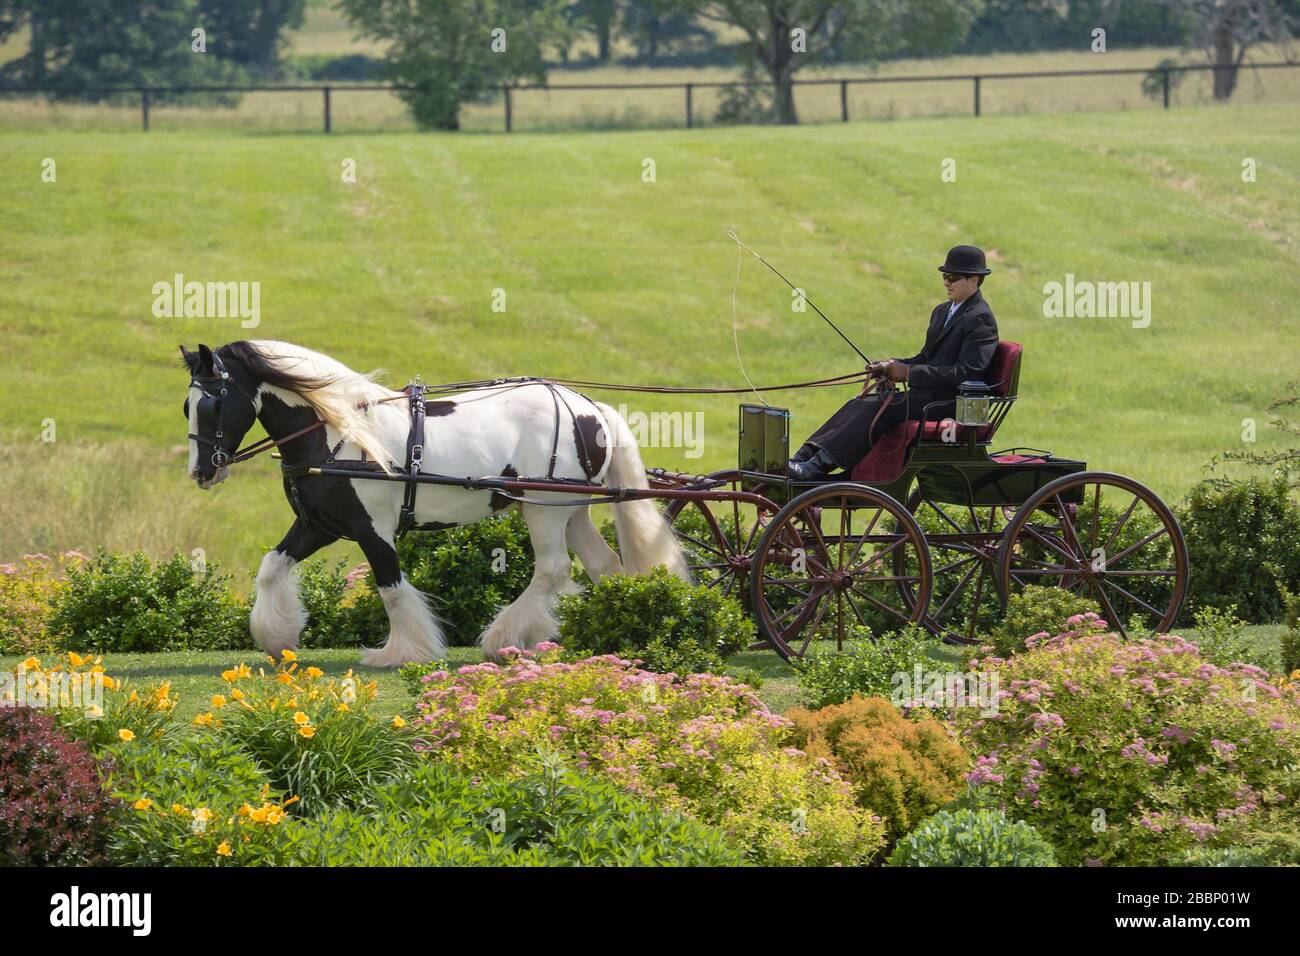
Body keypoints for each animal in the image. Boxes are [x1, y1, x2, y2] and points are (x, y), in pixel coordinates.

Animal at [180, 340, 691, 666]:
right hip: (570, 510)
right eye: (188, 407)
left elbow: (391, 588)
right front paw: (277, 637)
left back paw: (503, 638)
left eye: (211, 404)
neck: (341, 434)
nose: (202, 472)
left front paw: (404, 652)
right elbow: (271, 566)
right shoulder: (319, 525)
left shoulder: (372, 530)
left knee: (552, 570)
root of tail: (588, 407)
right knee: (604, 566)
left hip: (543, 508)